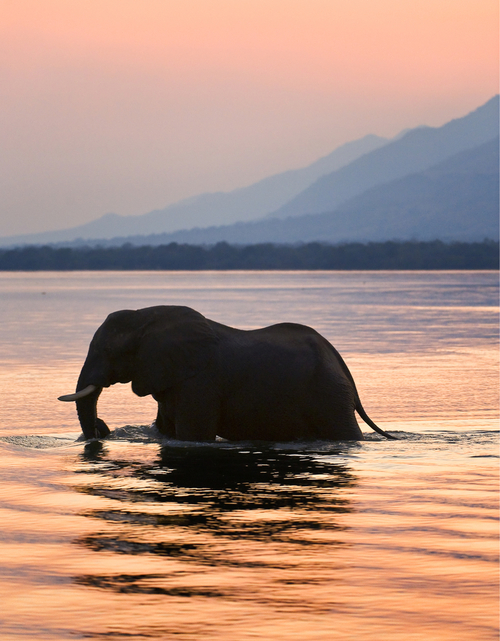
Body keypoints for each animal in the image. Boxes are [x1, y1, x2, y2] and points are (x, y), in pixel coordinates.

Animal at [58, 305, 395, 441]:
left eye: (108, 351)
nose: (101, 426)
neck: (146, 317)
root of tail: (339, 360)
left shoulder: (200, 383)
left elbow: (193, 436)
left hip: (328, 392)